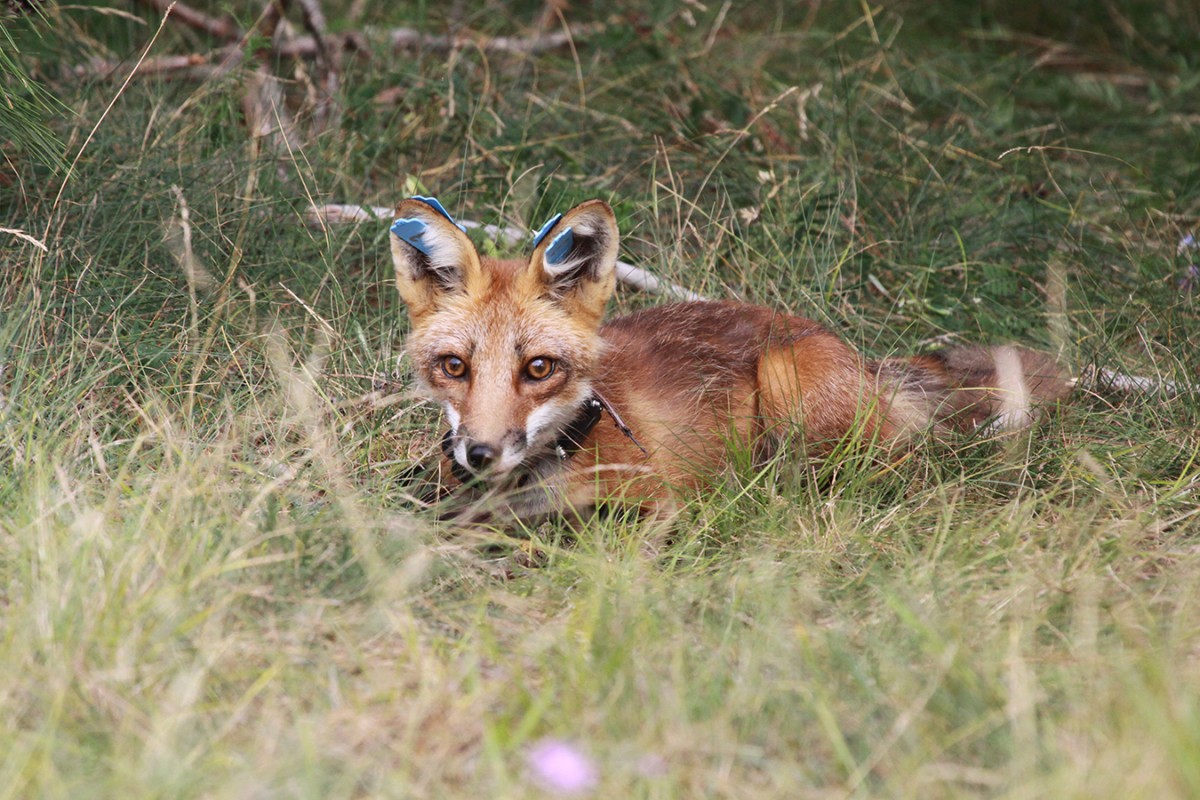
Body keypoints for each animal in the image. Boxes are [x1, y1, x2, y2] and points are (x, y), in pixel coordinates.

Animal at [390, 195, 1074, 524]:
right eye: (454, 367)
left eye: (538, 368)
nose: (480, 455)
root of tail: (864, 359)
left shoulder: (661, 503)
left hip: (787, 380)